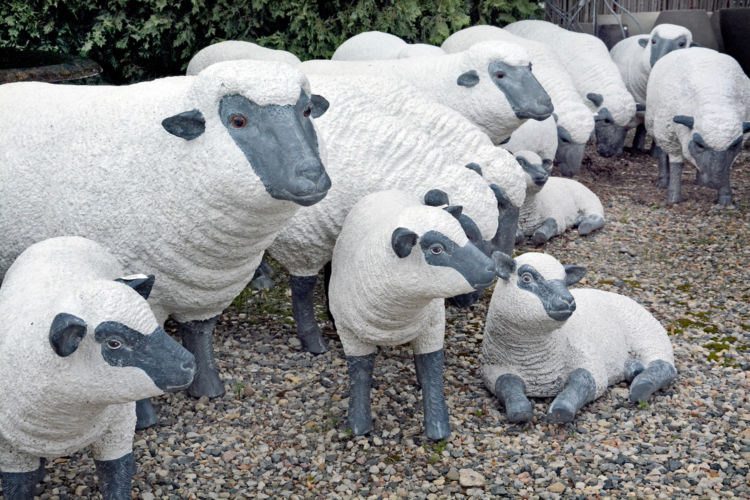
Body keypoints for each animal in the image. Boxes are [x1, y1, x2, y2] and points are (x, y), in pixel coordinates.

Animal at [0, 59, 331, 426]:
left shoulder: (205, 286)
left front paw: (208, 388)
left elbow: (200, 334)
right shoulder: (143, 287)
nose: (312, 175)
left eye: (306, 110)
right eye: (238, 121)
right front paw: (144, 418)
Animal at [0, 236, 196, 499]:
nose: (189, 364)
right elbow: (17, 487)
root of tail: (65, 237)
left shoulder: (116, 430)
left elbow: (116, 477)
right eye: (114, 343)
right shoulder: (10, 452)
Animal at [329, 190, 501, 439]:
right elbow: (359, 372)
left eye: (463, 235)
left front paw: (438, 427)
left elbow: (432, 367)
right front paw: (358, 425)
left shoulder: (434, 326)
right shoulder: (348, 333)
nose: (491, 268)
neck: (397, 313)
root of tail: (384, 191)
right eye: (436, 249)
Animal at [483, 252, 676, 423]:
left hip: (648, 334)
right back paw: (634, 369)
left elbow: (582, 380)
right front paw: (520, 410)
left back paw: (641, 386)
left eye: (564, 281)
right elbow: (507, 384)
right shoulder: (493, 370)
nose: (568, 300)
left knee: (664, 365)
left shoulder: (589, 360)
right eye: (526, 278)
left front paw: (561, 410)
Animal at [645, 47, 750, 205]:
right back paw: (664, 180)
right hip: (657, 125)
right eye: (699, 144)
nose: (714, 182)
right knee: (661, 151)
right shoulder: (670, 136)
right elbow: (677, 165)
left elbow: (727, 168)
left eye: (734, 145)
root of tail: (695, 48)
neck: (714, 100)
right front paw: (673, 196)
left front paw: (725, 197)